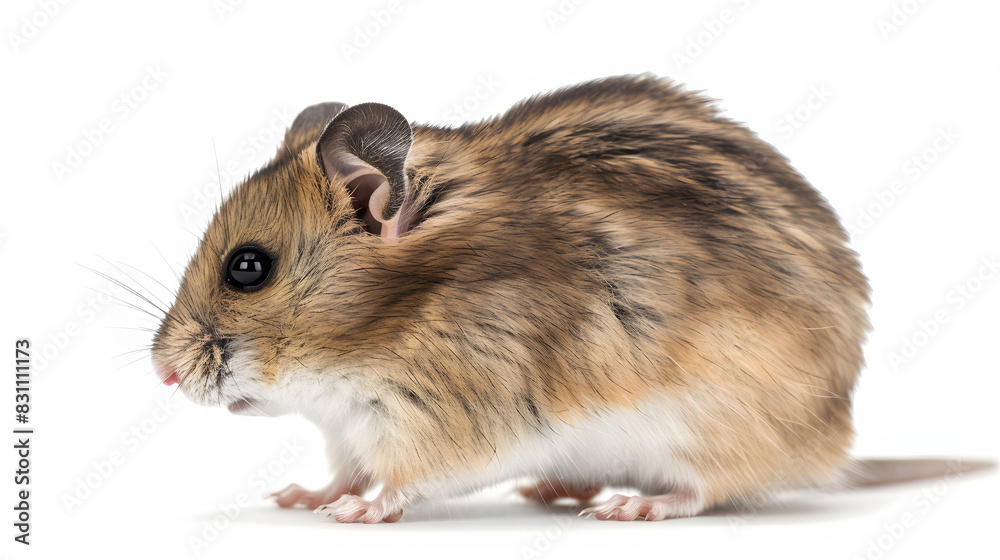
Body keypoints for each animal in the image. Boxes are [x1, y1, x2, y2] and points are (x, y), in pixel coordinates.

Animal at [151, 74, 871, 523]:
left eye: (248, 268)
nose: (162, 373)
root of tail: (833, 446)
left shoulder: (447, 418)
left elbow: (401, 480)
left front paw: (354, 512)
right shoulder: (349, 431)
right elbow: (344, 469)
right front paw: (299, 497)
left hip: (713, 426)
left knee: (704, 490)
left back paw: (628, 506)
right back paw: (555, 489)